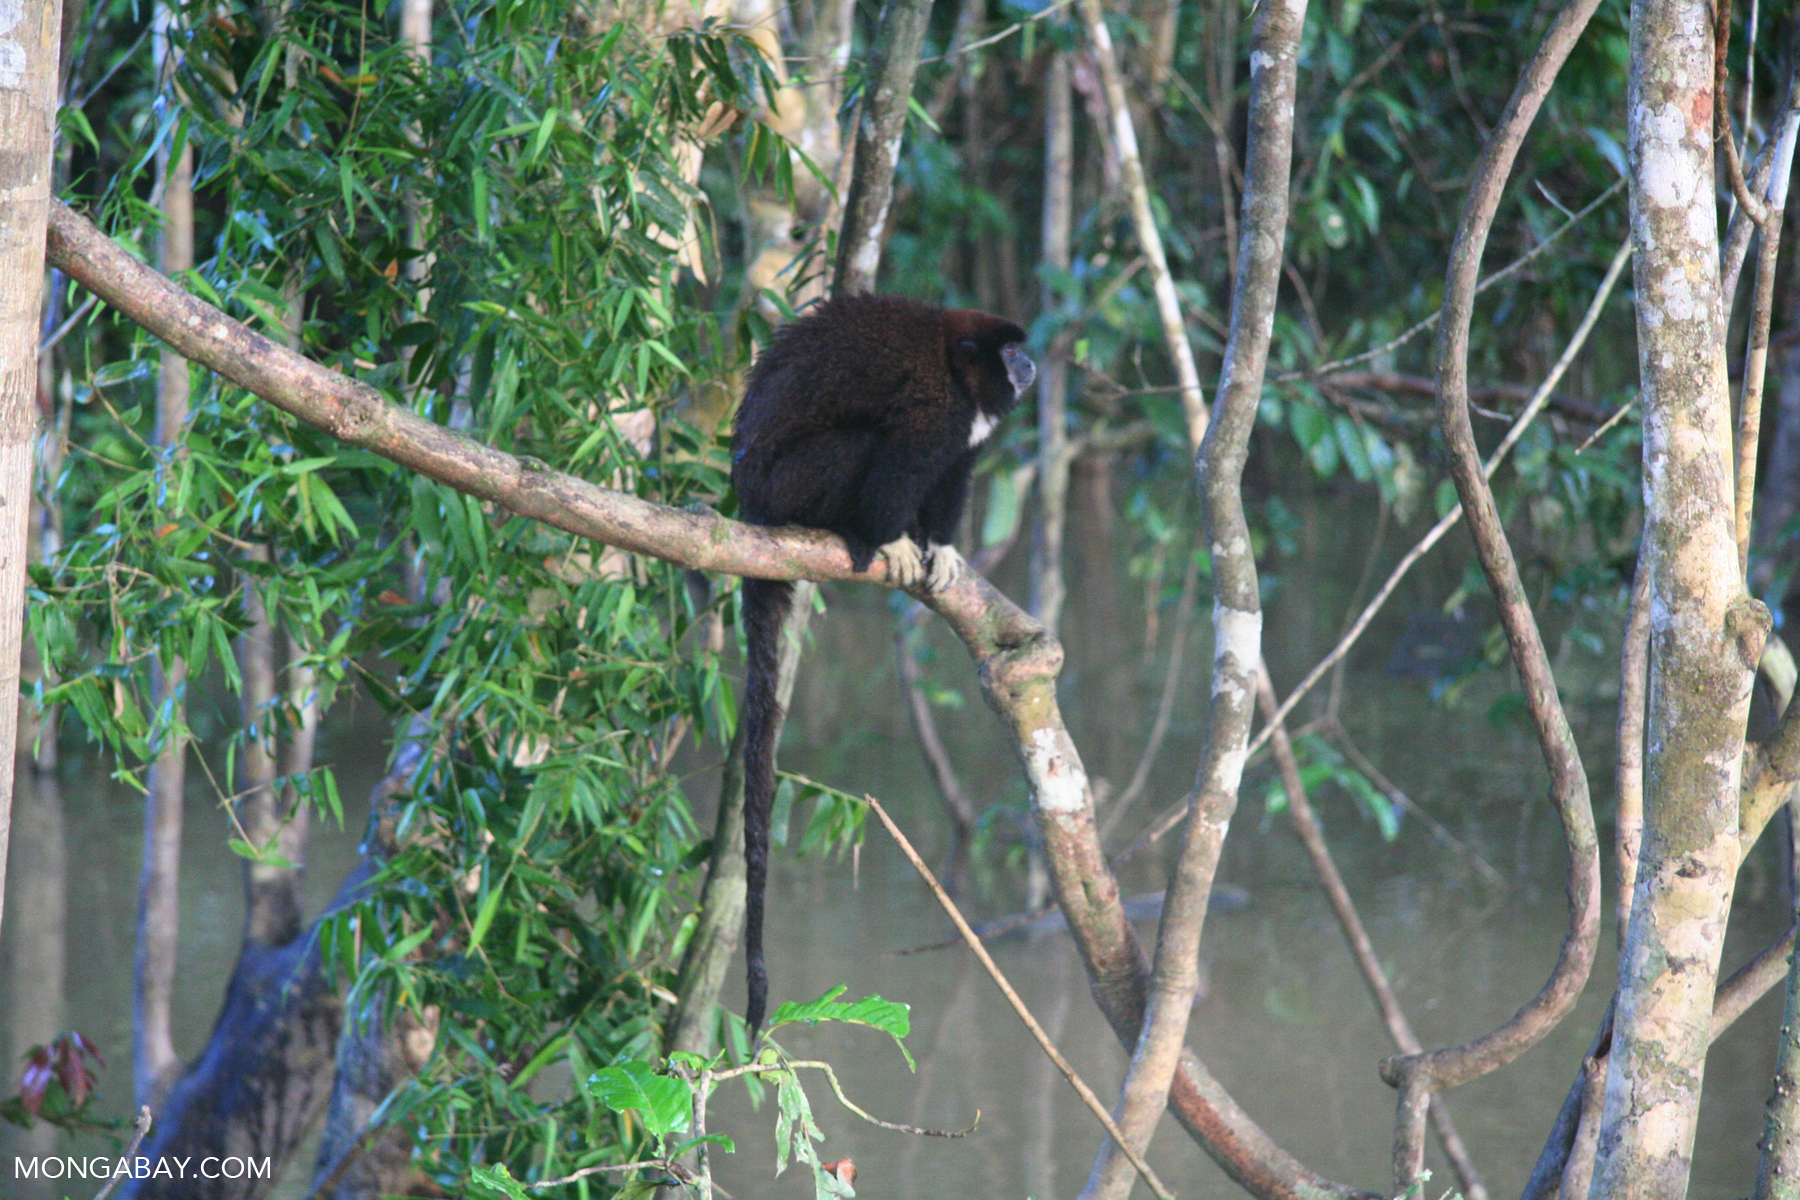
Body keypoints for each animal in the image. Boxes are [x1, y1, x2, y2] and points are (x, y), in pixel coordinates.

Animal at [729, 293, 1035, 1034]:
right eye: (1012, 351)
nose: (1031, 364)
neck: (956, 365)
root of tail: (749, 499)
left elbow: (953, 474)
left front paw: (939, 545)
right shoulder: (934, 407)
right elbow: (901, 463)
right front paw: (894, 536)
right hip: (790, 486)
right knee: (864, 449)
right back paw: (854, 532)